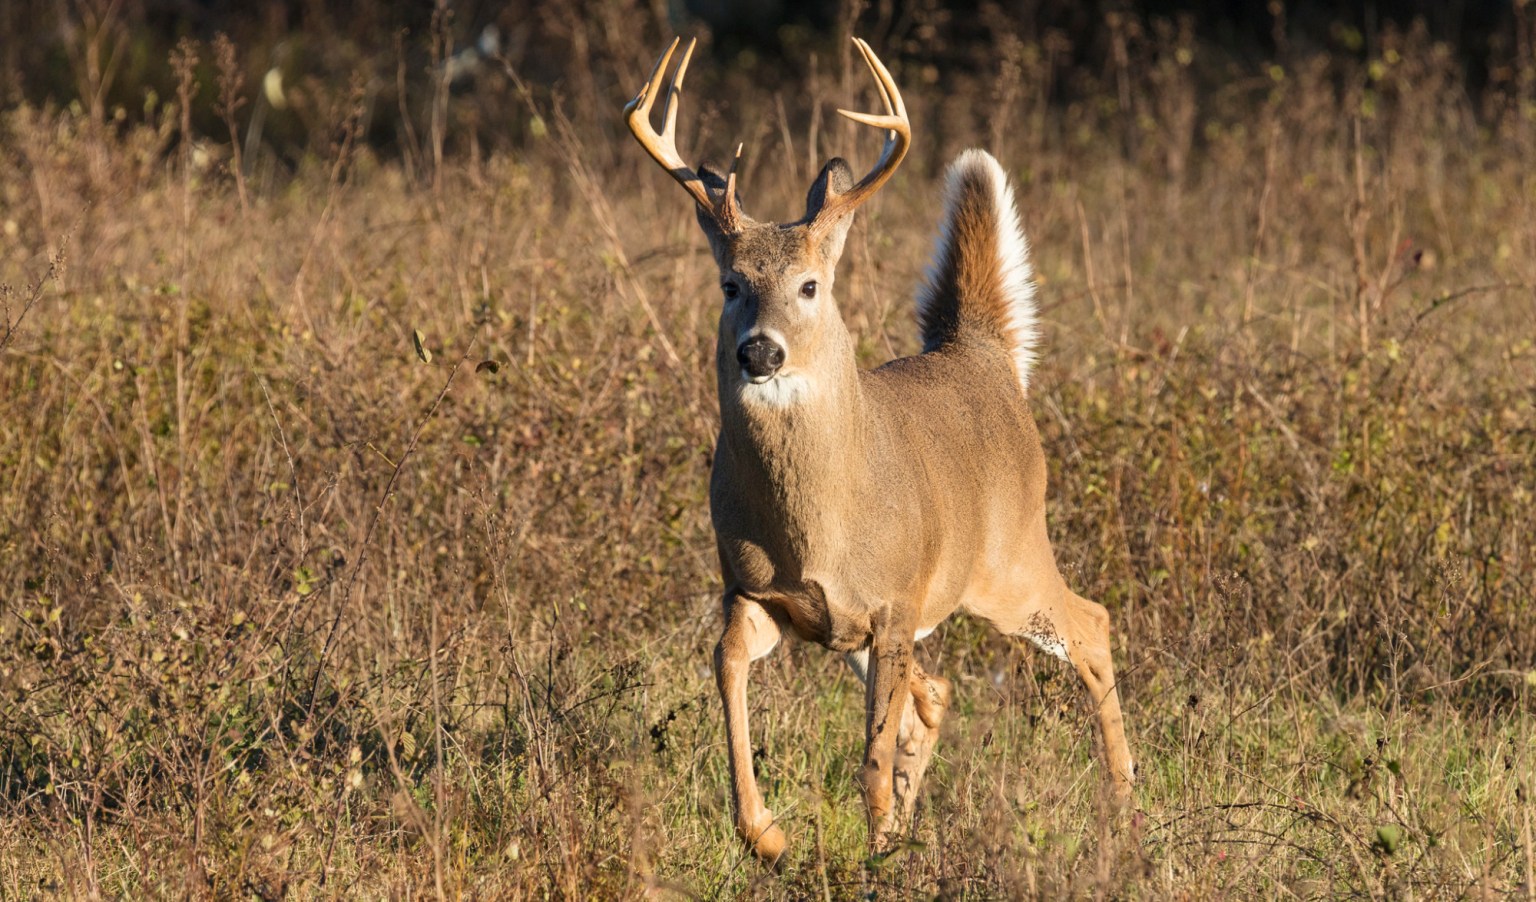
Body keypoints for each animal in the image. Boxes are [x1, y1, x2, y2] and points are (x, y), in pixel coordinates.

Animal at [623, 36, 1137, 864]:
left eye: (810, 285)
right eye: (730, 282)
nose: (759, 352)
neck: (815, 528)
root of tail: (986, 355)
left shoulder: (895, 602)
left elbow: (869, 758)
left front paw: (872, 854)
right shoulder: (758, 594)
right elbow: (728, 667)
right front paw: (769, 835)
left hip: (1008, 560)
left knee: (1091, 625)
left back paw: (1123, 807)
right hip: (891, 621)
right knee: (937, 695)